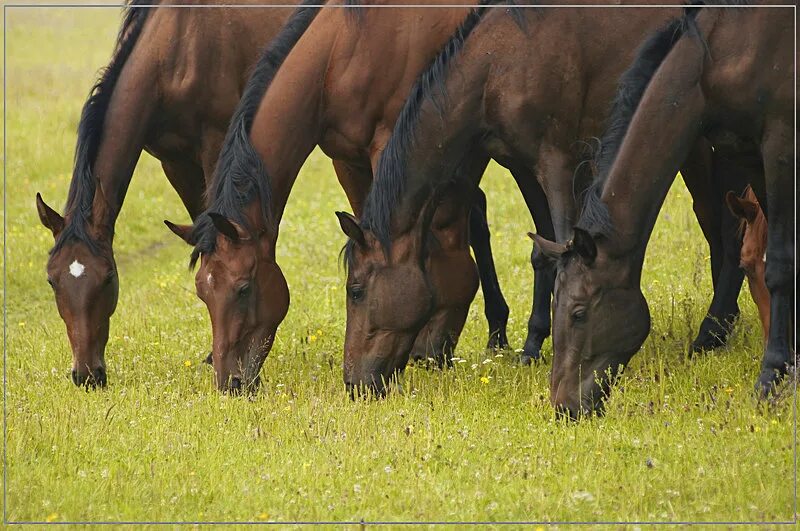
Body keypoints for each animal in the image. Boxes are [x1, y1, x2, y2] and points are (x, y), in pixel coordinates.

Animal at [34, 1, 296, 390]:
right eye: (52, 280)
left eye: (108, 277)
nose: (86, 375)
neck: (176, 48)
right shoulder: (174, 162)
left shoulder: (216, 143)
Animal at [164, 1, 512, 394]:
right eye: (202, 293)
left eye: (243, 289)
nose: (230, 383)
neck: (344, 49)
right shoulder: (349, 160)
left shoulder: (395, 148)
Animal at [334, 3, 748, 394]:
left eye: (356, 291)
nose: (354, 382)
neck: (501, 60)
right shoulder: (523, 164)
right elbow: (544, 250)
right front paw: (533, 345)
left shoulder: (559, 162)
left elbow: (564, 246)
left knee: (729, 227)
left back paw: (711, 332)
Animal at [532, 0, 792, 418]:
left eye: (579, 313)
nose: (563, 406)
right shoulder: (750, 155)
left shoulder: (781, 144)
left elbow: (782, 264)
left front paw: (771, 377)